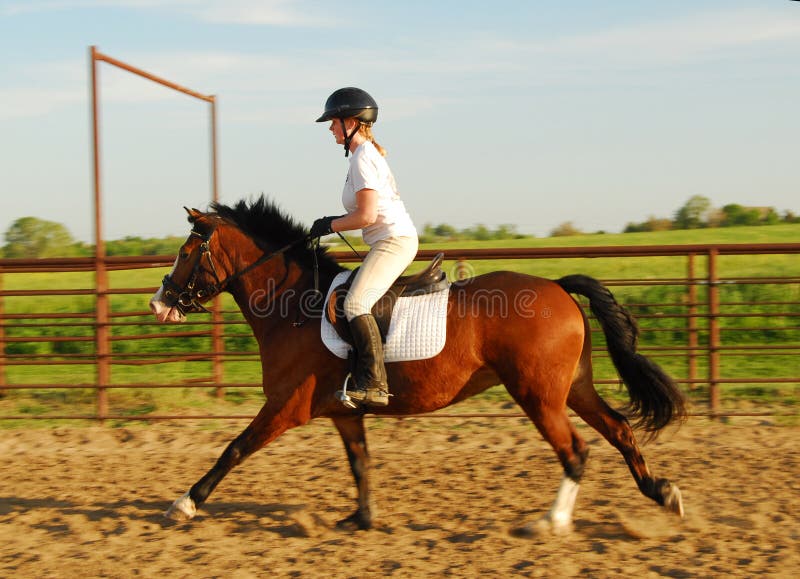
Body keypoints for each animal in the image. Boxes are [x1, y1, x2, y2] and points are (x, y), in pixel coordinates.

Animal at [149, 196, 686, 534]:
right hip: (572, 388)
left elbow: (234, 449)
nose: (159, 303)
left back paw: (550, 523)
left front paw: (184, 504)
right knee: (618, 429)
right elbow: (360, 463)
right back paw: (662, 493)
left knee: (575, 451)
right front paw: (361, 520)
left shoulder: (287, 406)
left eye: (186, 251)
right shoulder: (343, 412)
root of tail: (557, 286)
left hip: (537, 396)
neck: (293, 304)